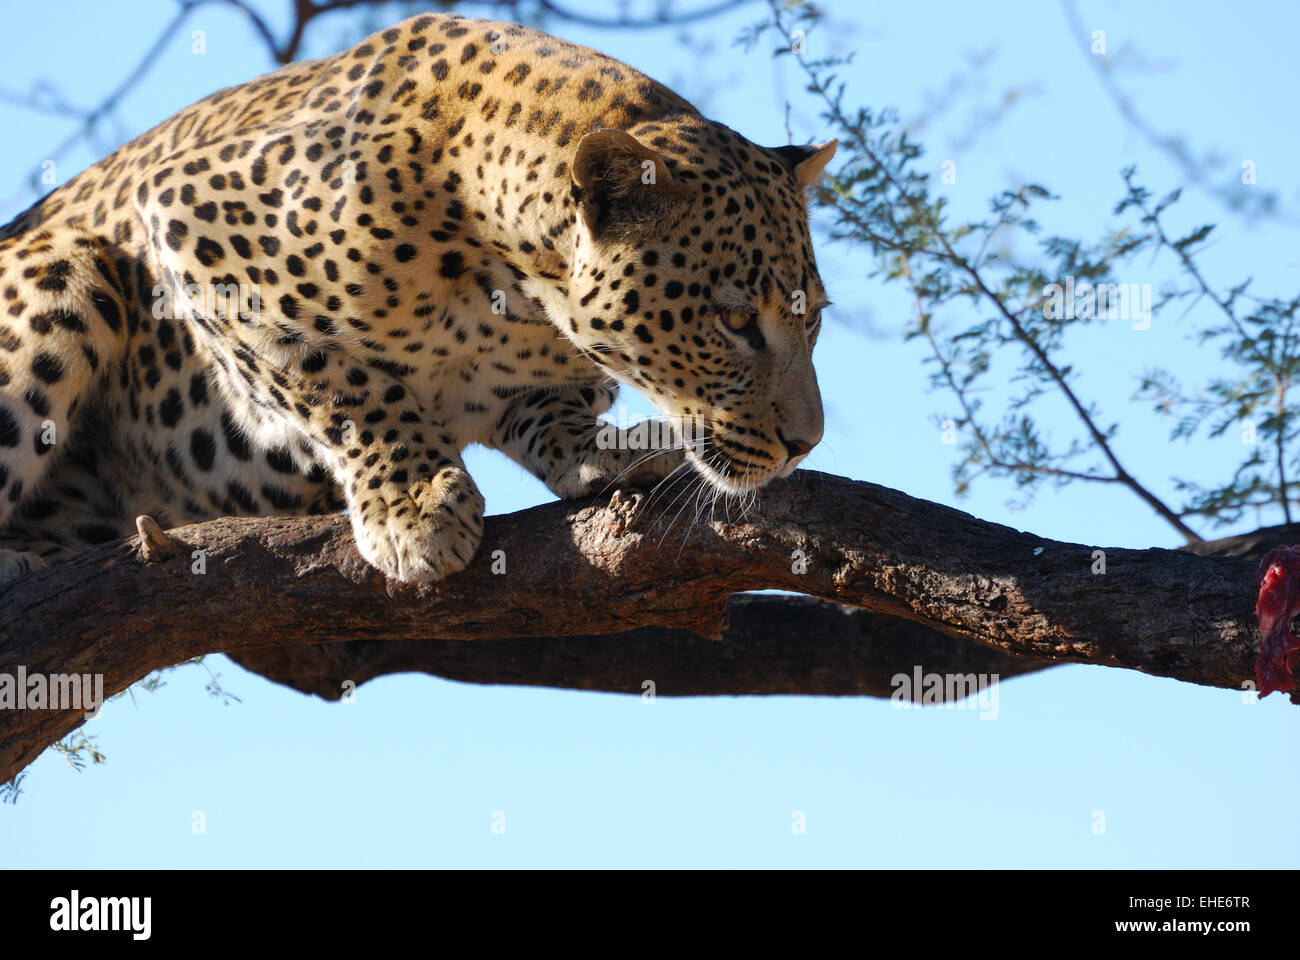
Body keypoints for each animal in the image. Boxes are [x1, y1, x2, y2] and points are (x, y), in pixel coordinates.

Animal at [0, 12, 834, 585]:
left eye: (815, 318)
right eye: (733, 321)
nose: (805, 444)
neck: (519, 293)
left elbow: (549, 408)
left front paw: (607, 448)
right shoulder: (191, 216)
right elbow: (339, 383)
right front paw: (414, 505)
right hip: (66, 264)